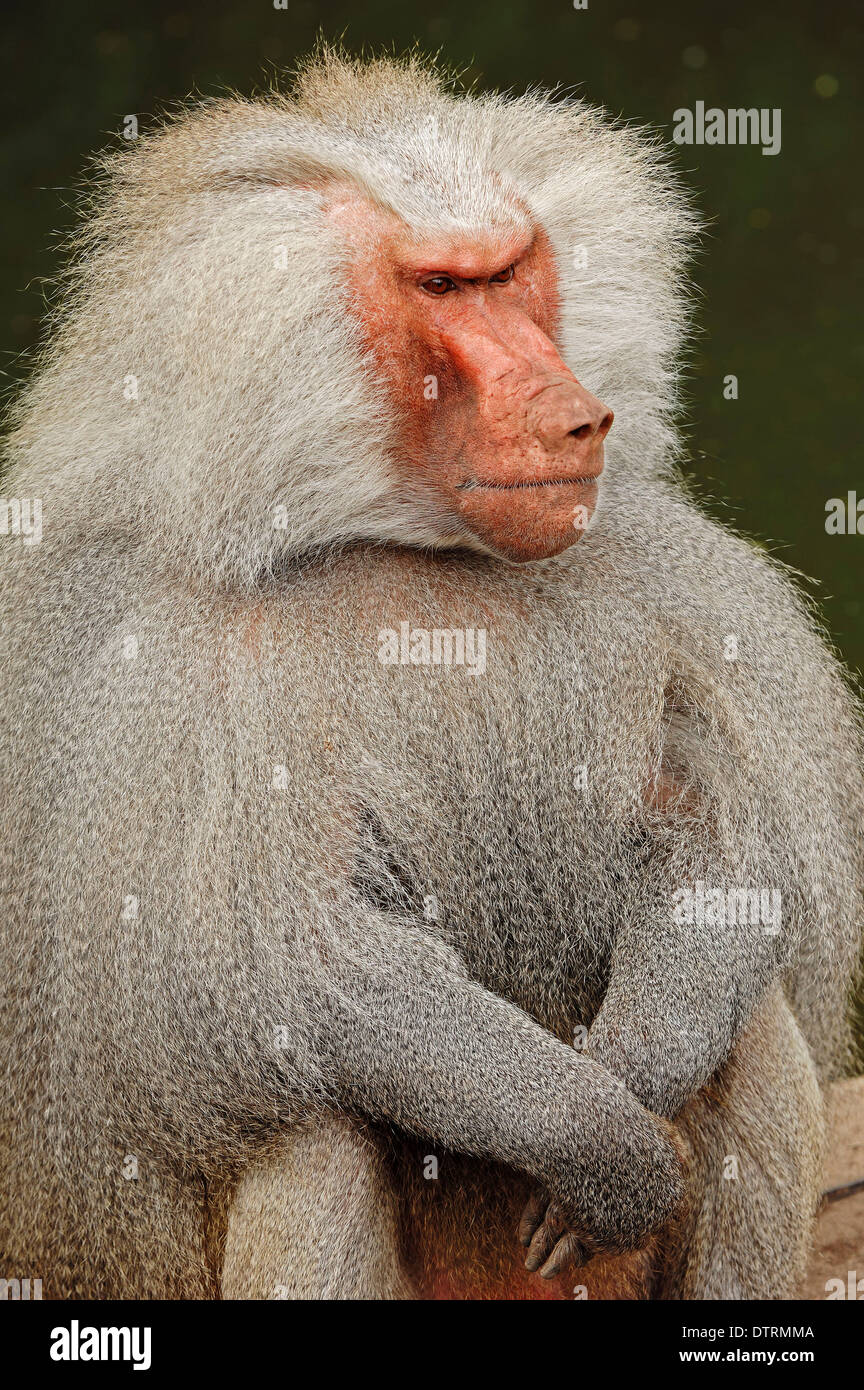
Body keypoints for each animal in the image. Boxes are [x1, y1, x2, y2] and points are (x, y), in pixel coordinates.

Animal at [0, 48, 862, 1301]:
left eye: (510, 273)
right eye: (444, 289)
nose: (577, 418)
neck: (395, 543)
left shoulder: (661, 594)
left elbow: (715, 828)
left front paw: (636, 1074)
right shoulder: (160, 684)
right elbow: (302, 963)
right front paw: (605, 1149)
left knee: (754, 1036)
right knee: (309, 1127)